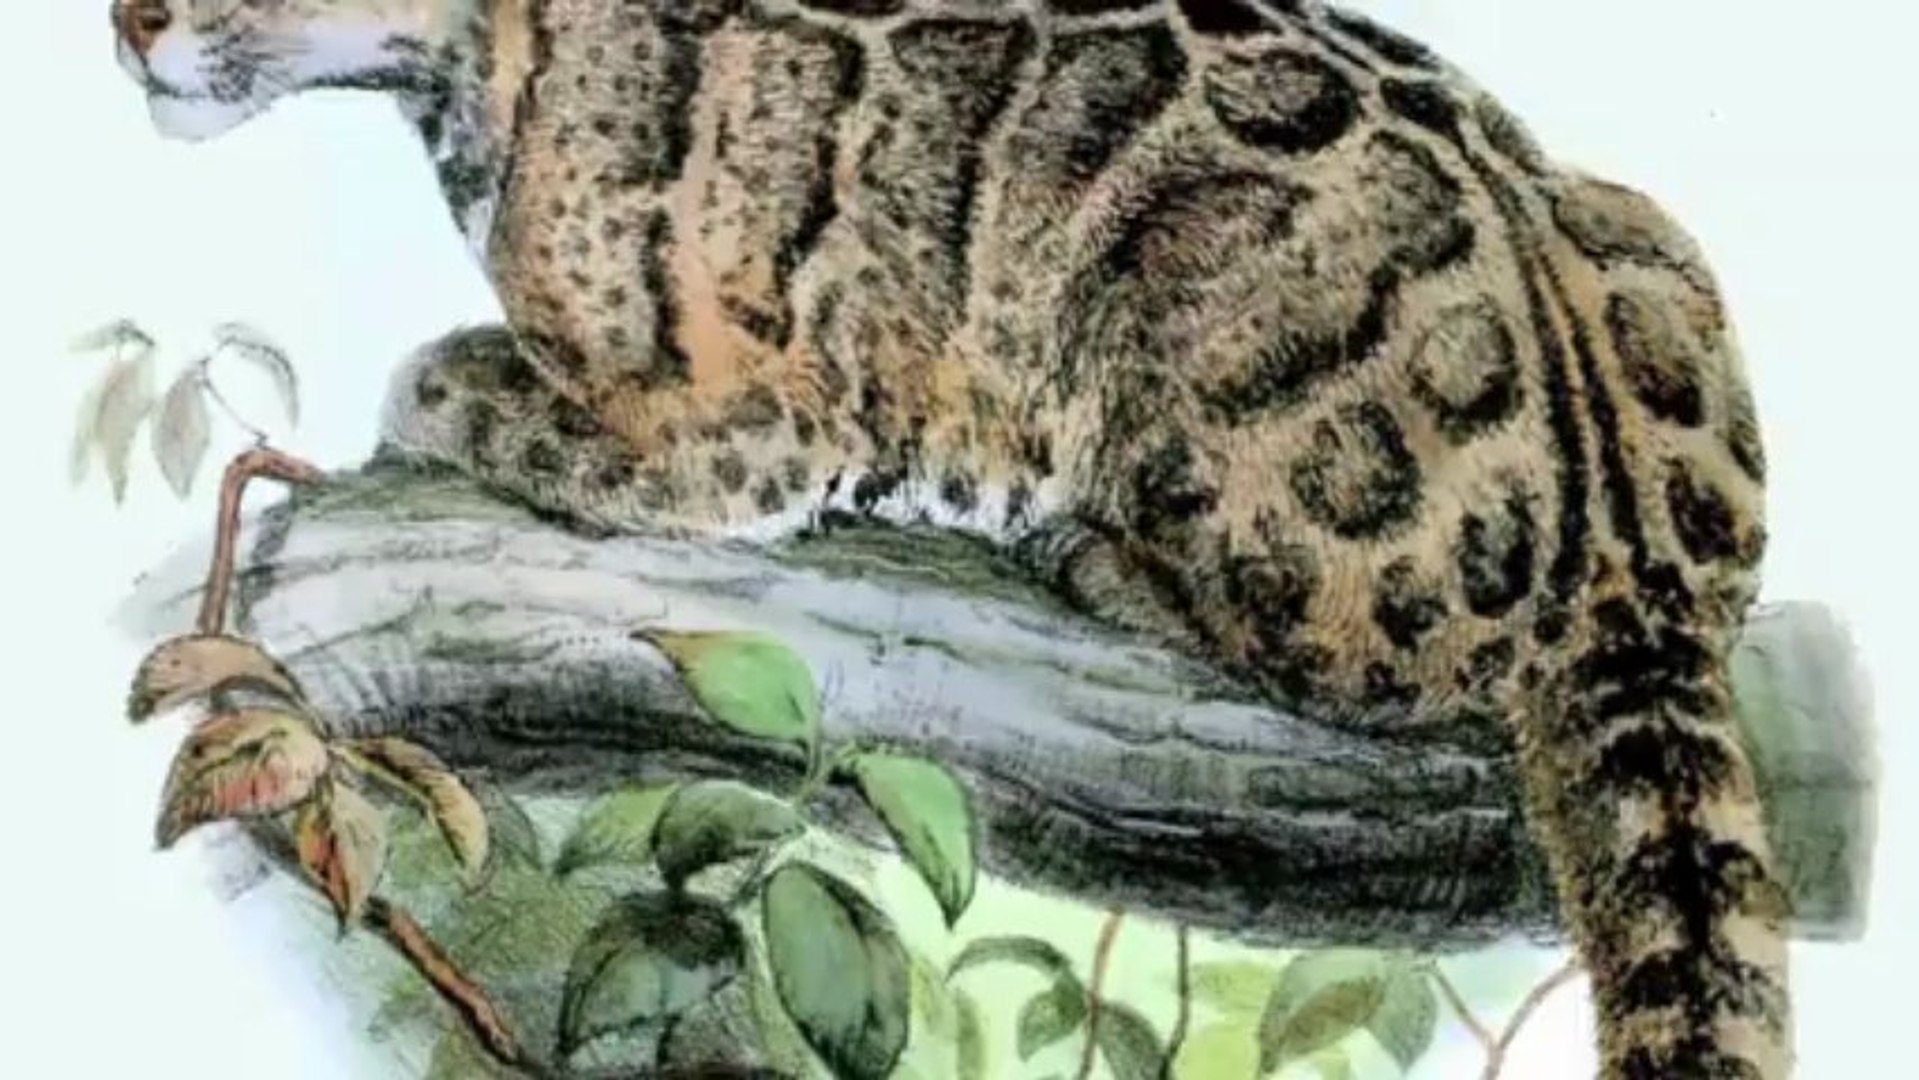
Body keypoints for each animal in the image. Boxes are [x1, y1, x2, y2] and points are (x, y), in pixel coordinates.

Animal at [107, 1, 1788, 1076]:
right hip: (1654, 245)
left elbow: (515, 406)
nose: (130, 21)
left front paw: (442, 381)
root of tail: (1630, 545)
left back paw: (1098, 554)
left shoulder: (749, 423)